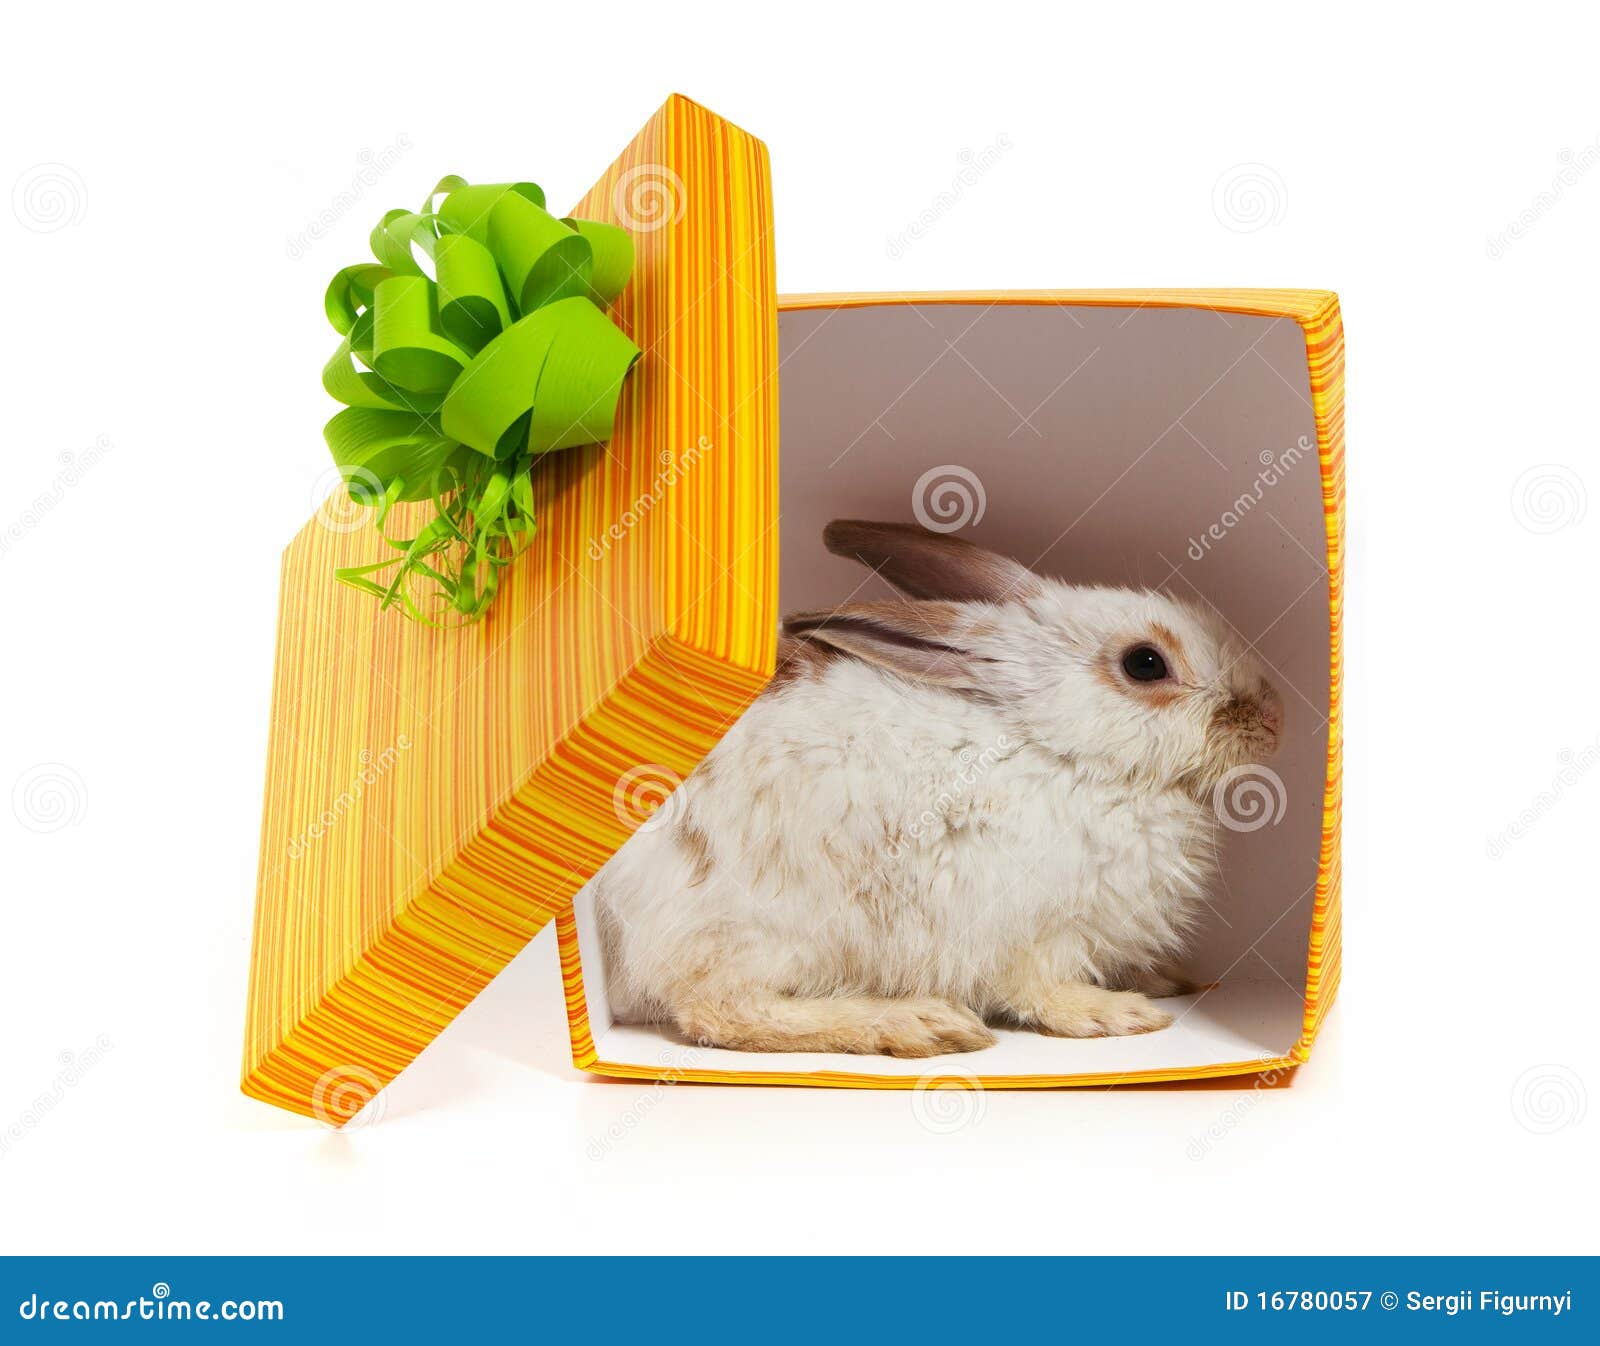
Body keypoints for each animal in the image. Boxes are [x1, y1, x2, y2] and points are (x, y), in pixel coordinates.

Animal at [595, 519, 1283, 1057]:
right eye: (1145, 663)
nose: (1271, 721)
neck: (1061, 748)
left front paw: (1167, 978)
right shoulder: (1024, 925)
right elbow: (1039, 988)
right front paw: (1116, 1013)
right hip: (766, 933)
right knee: (719, 1011)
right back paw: (920, 1025)